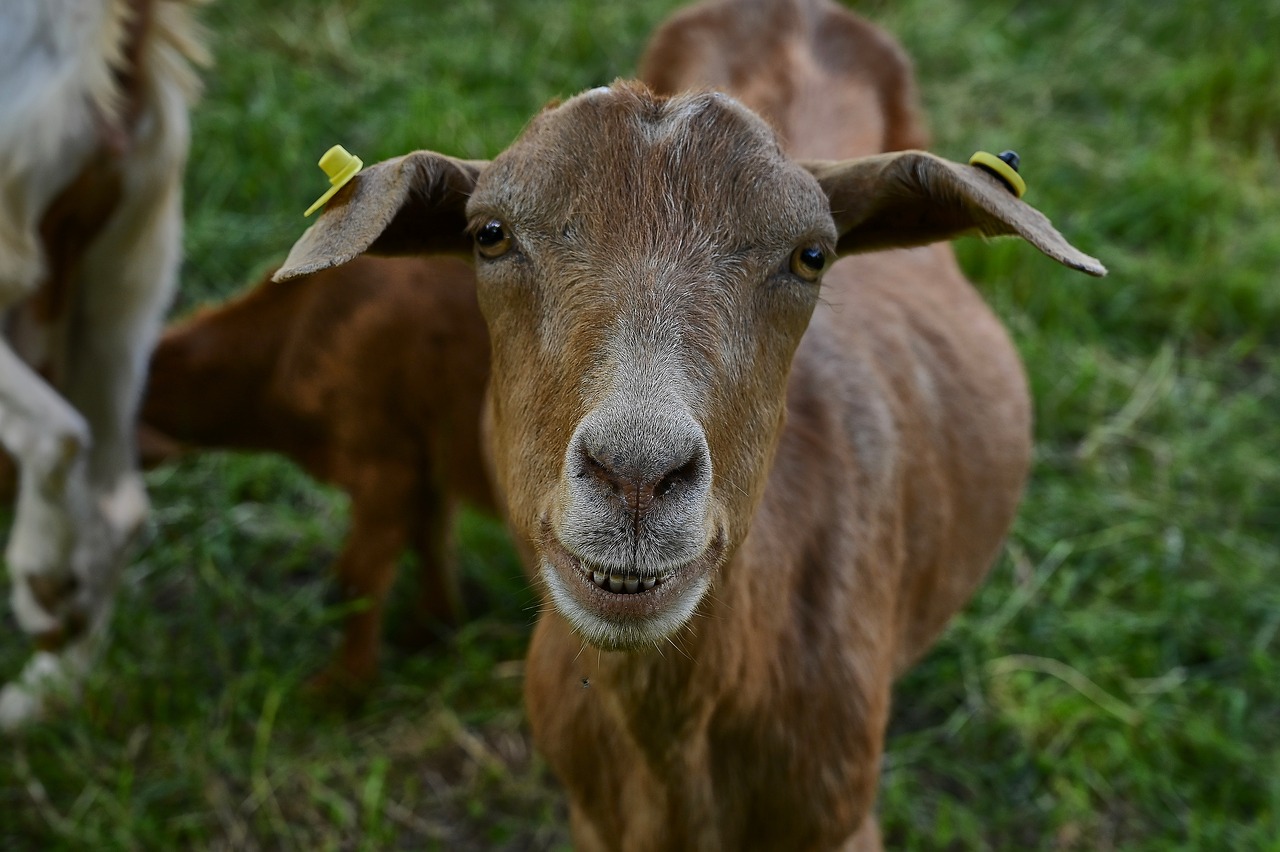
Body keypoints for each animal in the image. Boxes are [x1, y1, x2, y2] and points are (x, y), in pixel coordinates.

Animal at [139, 255, 494, 694]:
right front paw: (430, 633)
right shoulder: (426, 459)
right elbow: (432, 541)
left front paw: (341, 687)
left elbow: (357, 572)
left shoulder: (382, 462)